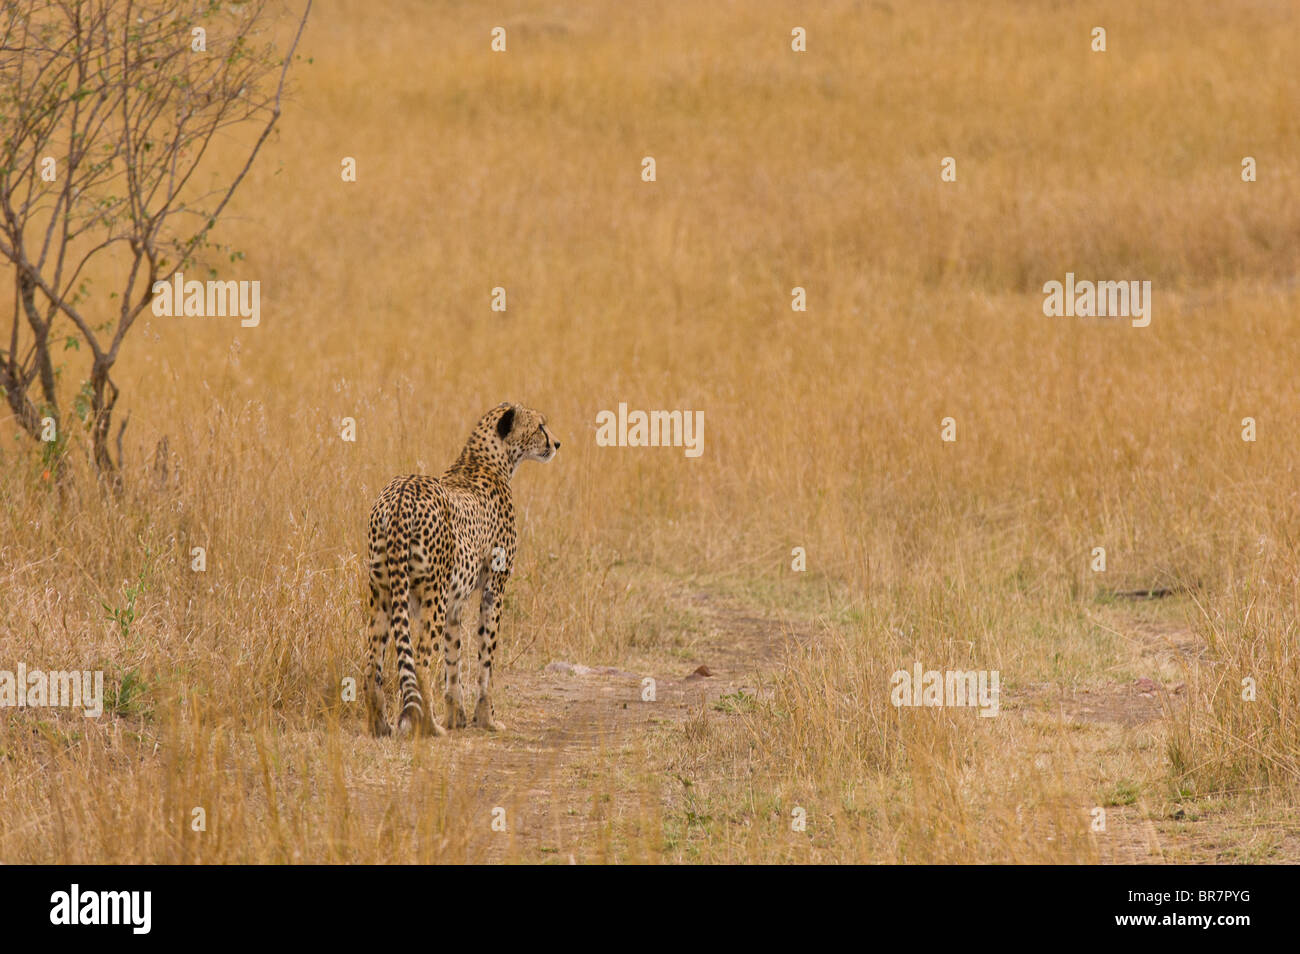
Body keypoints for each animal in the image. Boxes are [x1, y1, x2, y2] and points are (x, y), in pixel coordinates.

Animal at [363, 402, 559, 737]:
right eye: (539, 427)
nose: (556, 443)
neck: (486, 461)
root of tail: (403, 491)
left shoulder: (456, 600)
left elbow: (453, 657)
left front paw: (457, 716)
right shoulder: (494, 588)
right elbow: (486, 658)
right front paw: (486, 718)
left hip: (384, 593)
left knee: (372, 659)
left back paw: (381, 725)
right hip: (433, 595)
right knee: (421, 659)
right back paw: (428, 726)